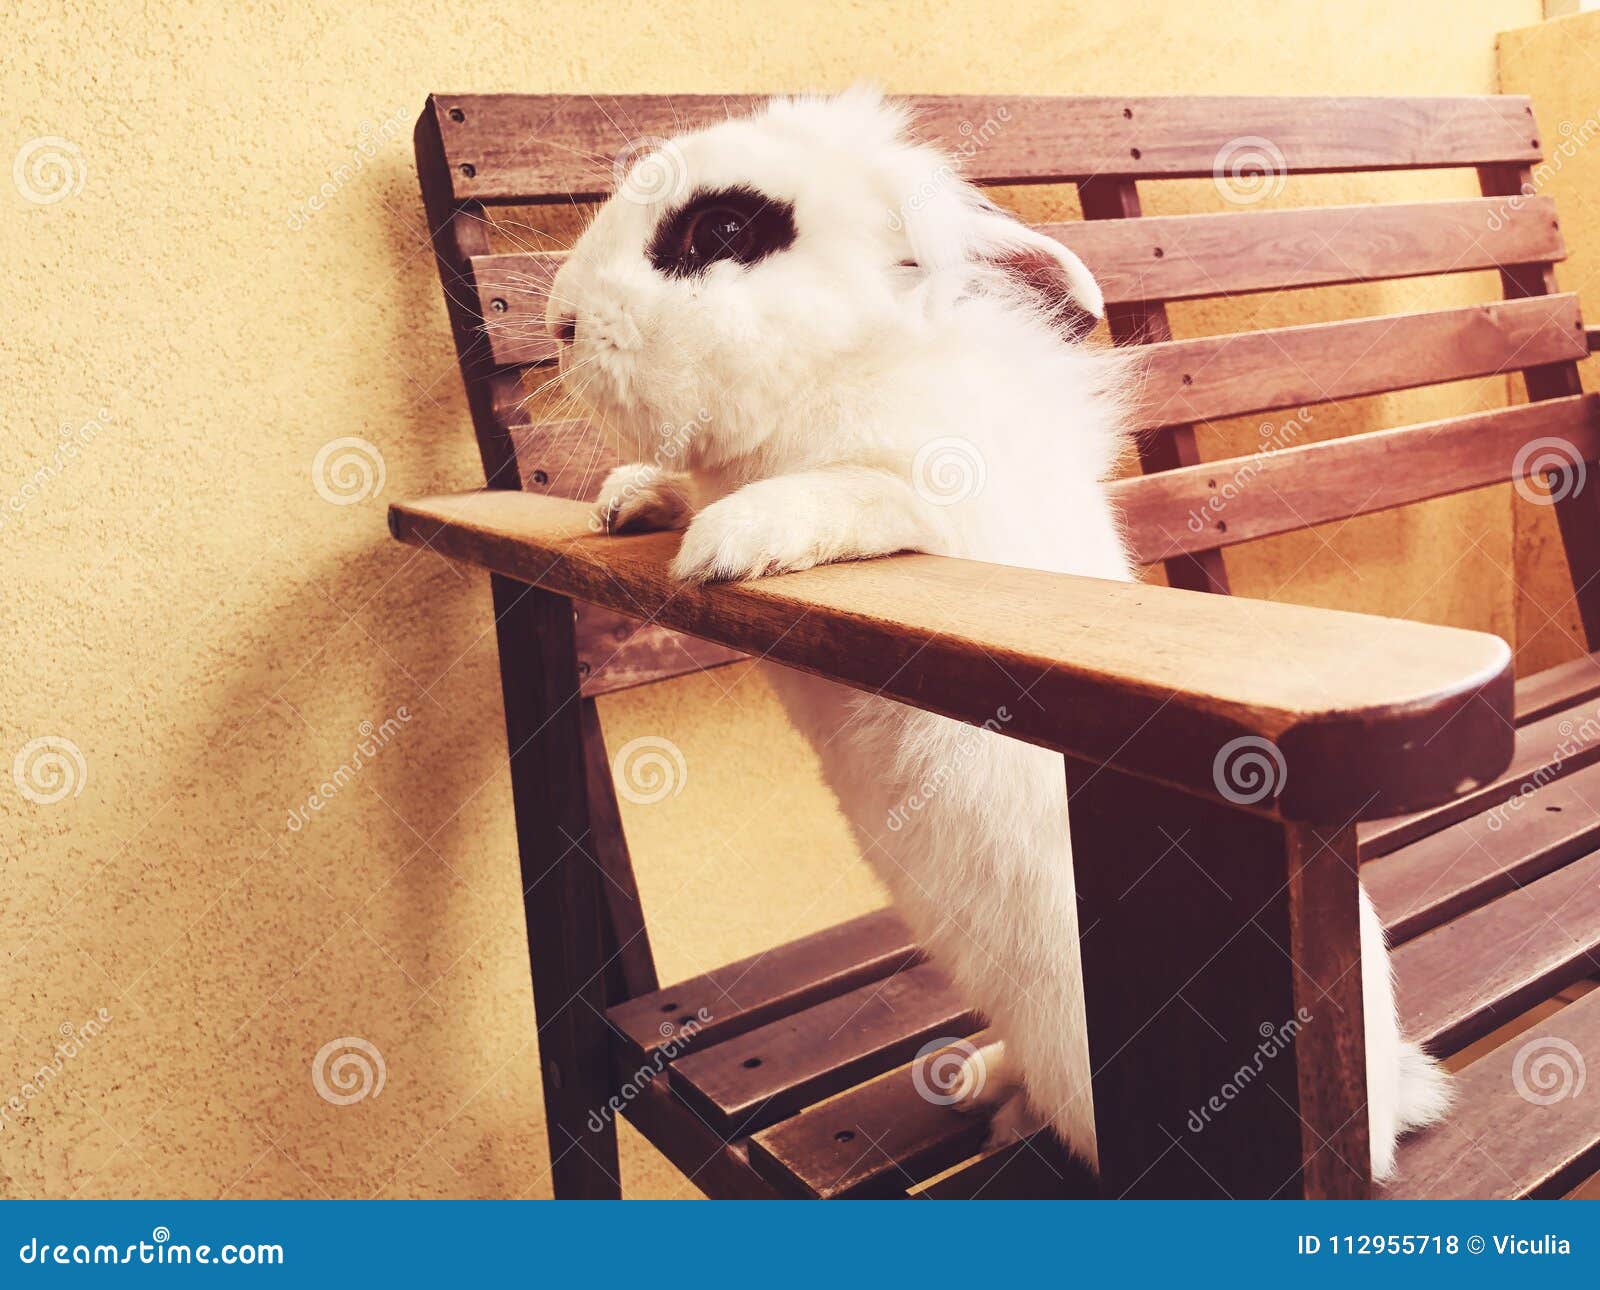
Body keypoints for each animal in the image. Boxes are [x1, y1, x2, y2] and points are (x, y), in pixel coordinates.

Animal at [545, 87, 1449, 1183]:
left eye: (719, 231)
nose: (557, 323)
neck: (843, 369)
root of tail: (1383, 1108)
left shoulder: (939, 516)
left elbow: (850, 498)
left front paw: (729, 541)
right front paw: (629, 499)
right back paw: (974, 1086)